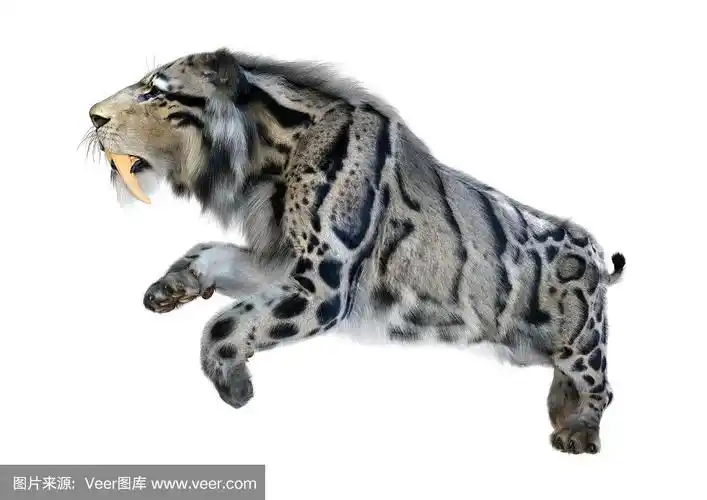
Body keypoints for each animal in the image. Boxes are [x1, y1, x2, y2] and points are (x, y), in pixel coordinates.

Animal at [87, 48, 626, 454]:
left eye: (156, 92)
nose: (92, 117)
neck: (264, 159)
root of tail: (599, 257)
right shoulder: (283, 264)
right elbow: (210, 253)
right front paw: (170, 287)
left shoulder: (323, 284)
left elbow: (224, 325)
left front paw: (234, 384)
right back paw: (560, 415)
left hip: (583, 342)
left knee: (603, 385)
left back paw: (579, 432)